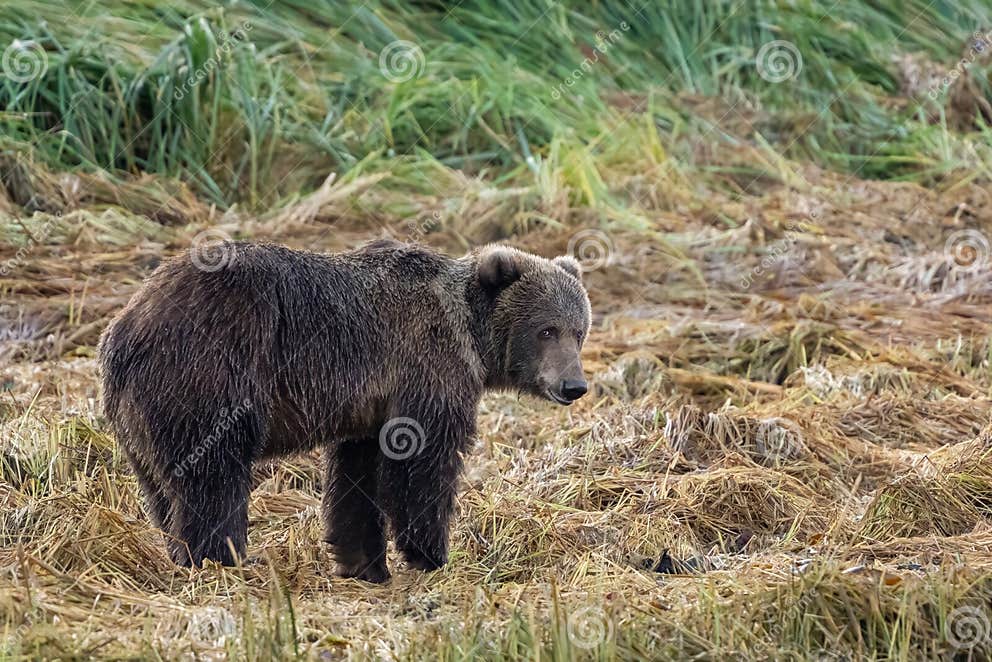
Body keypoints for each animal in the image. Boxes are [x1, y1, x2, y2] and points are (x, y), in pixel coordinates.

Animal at [99, 239, 591, 582]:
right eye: (547, 330)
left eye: (579, 330)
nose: (574, 385)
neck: (469, 329)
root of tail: (126, 327)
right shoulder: (424, 367)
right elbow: (424, 464)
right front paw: (431, 554)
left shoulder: (369, 408)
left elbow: (358, 478)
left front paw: (363, 563)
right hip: (213, 377)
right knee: (215, 477)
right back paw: (223, 556)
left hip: (142, 417)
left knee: (163, 488)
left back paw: (182, 553)